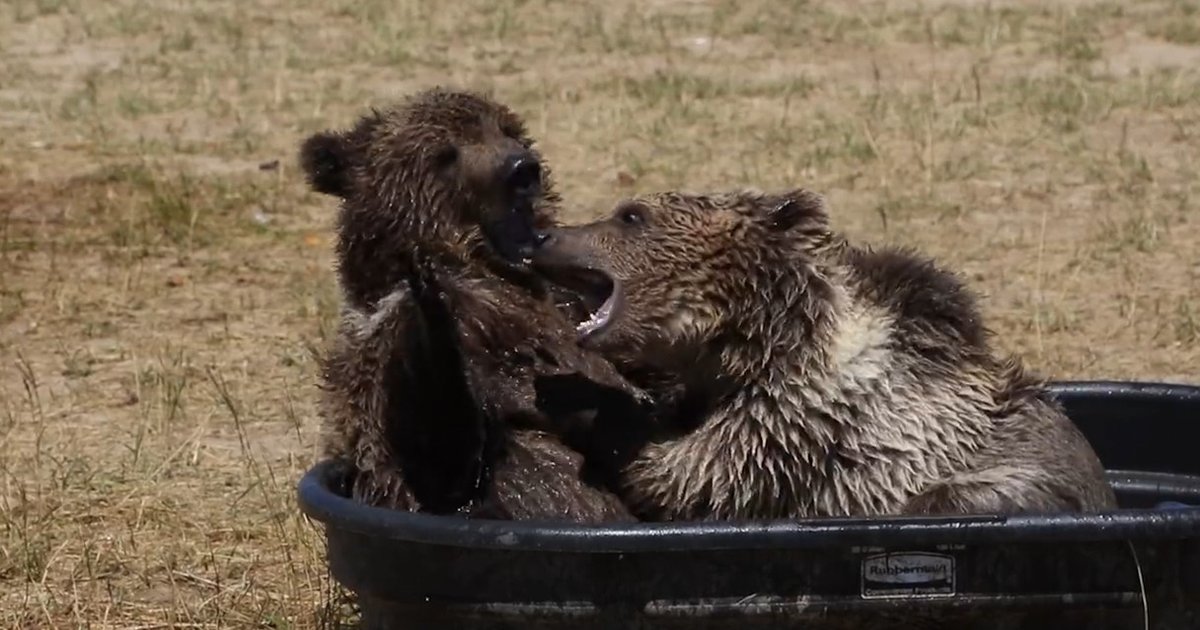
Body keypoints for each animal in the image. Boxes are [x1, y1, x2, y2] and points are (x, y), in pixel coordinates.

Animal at [530, 187, 1118, 521]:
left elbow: (685, 474)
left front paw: (575, 399)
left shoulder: (795, 417)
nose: (545, 237)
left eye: (631, 215)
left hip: (1013, 484)